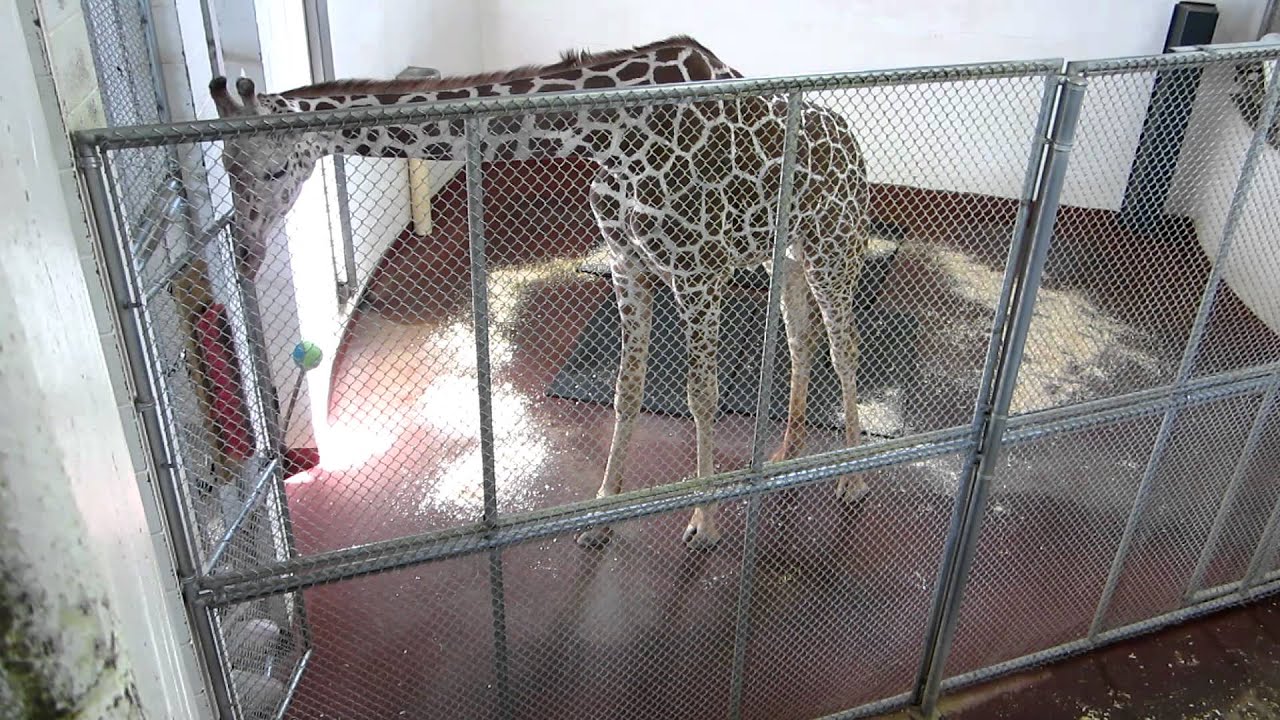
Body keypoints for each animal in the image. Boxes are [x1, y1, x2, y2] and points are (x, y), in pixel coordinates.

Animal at [209, 35, 871, 550]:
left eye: (272, 170)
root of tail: (855, 148)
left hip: (833, 246)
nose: (245, 256)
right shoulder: (628, 264)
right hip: (790, 254)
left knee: (846, 349)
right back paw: (786, 453)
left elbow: (701, 397)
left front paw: (703, 521)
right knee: (802, 341)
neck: (614, 133)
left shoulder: (696, 271)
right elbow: (625, 392)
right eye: (223, 167)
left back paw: (851, 477)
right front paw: (602, 513)